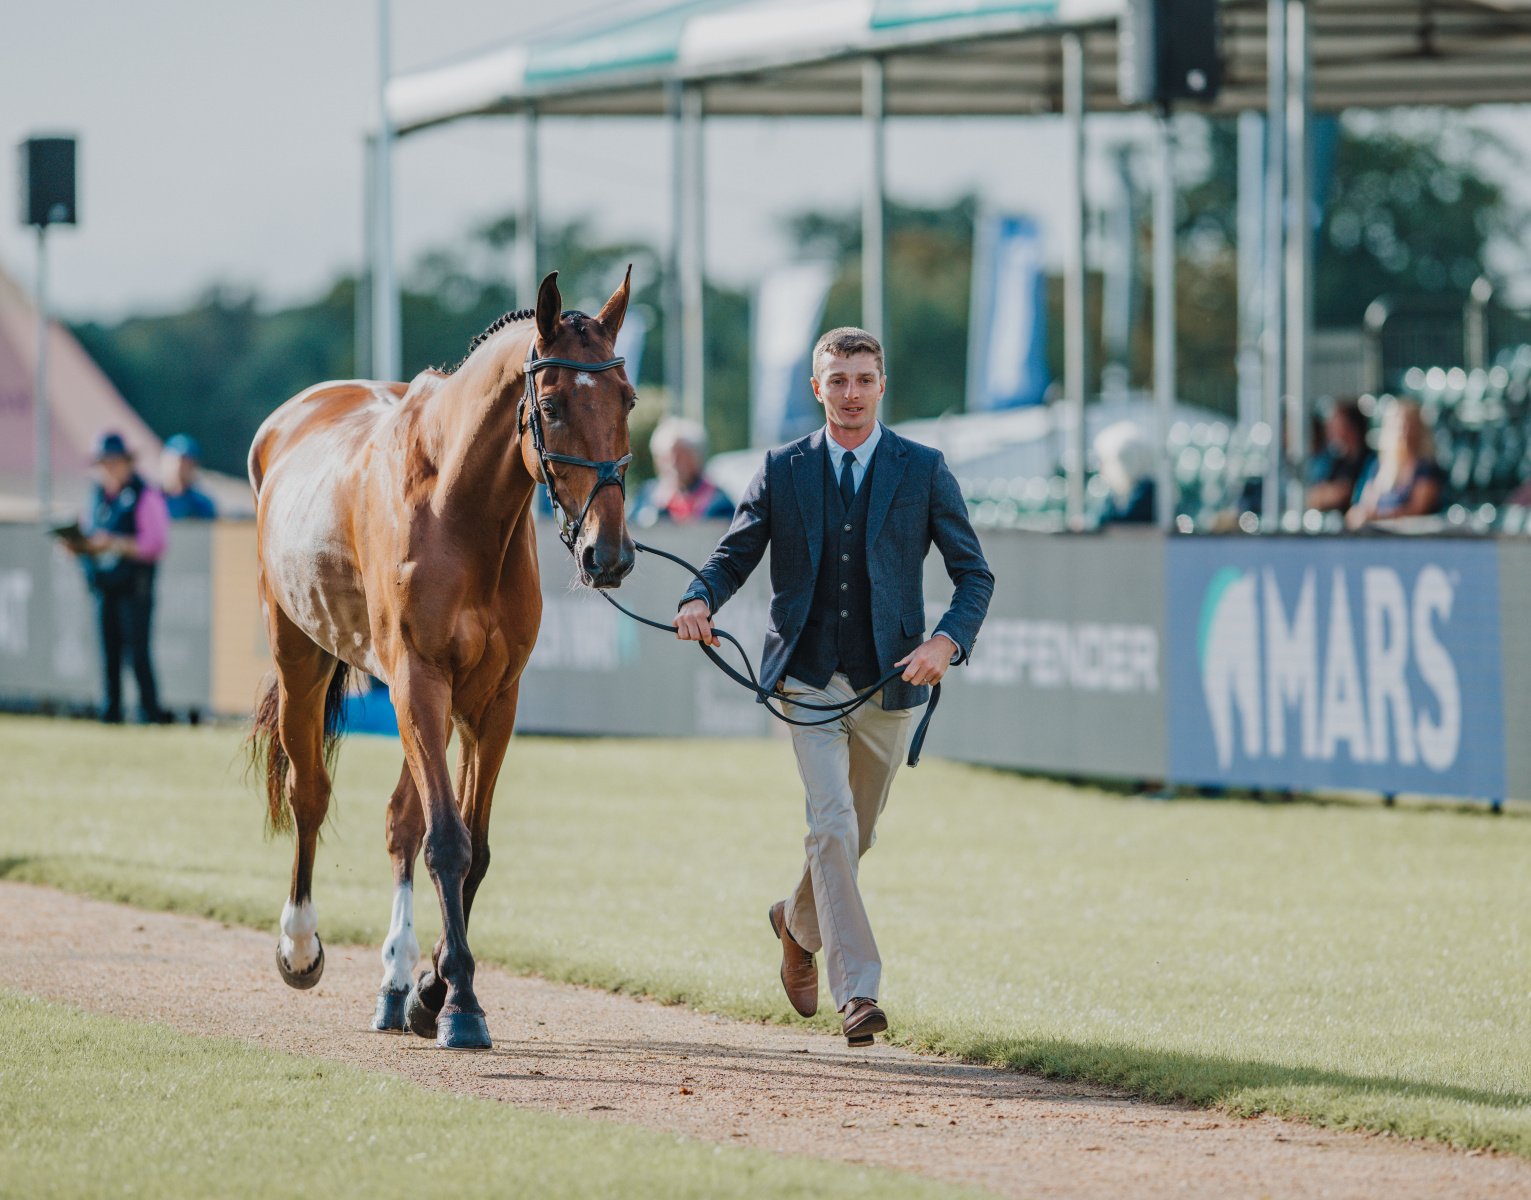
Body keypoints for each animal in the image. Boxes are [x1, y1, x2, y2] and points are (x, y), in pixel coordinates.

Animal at [245, 269, 637, 1050]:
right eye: (552, 405)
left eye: (628, 400)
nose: (606, 554)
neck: (459, 510)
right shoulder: (419, 681)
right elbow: (448, 843)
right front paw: (460, 1004)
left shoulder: (490, 698)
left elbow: (469, 845)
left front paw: (432, 988)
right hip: (303, 655)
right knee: (310, 792)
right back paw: (300, 944)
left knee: (402, 821)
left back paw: (397, 984)